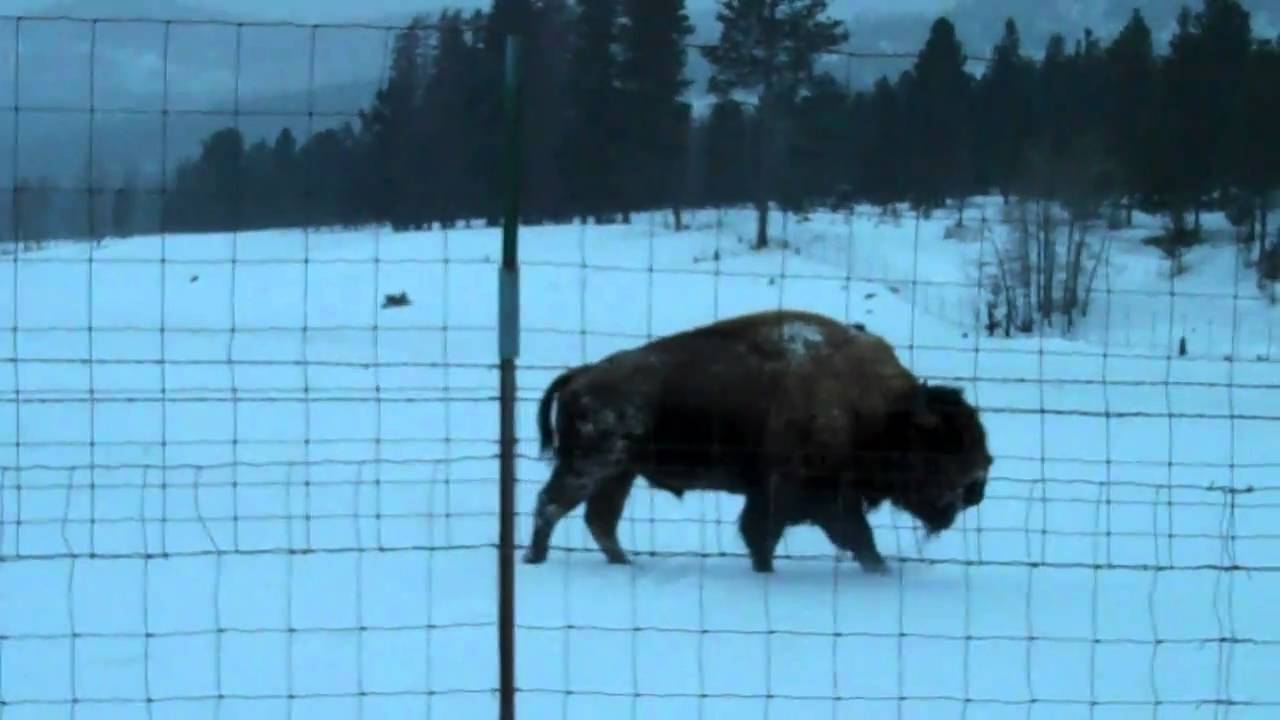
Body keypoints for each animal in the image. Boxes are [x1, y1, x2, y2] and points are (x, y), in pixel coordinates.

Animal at [521, 309, 992, 574]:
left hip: (619, 473)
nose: (977, 487)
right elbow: (843, 537)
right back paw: (536, 560)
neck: (873, 406)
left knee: (598, 520)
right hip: (593, 465)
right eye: (943, 447)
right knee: (552, 504)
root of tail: (581, 375)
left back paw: (623, 564)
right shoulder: (804, 495)